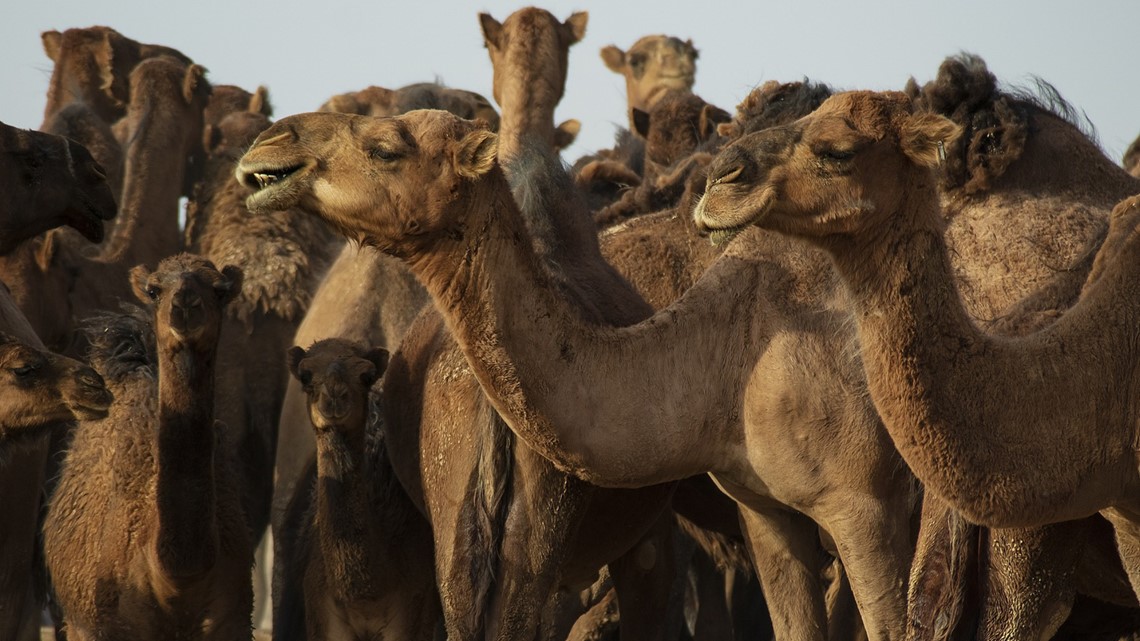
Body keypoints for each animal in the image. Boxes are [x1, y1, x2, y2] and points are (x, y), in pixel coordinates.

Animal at [44, 253, 252, 640]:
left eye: (219, 290)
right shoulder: (112, 627)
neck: (177, 580)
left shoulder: (232, 621)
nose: (184, 304)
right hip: (78, 622)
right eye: (155, 290)